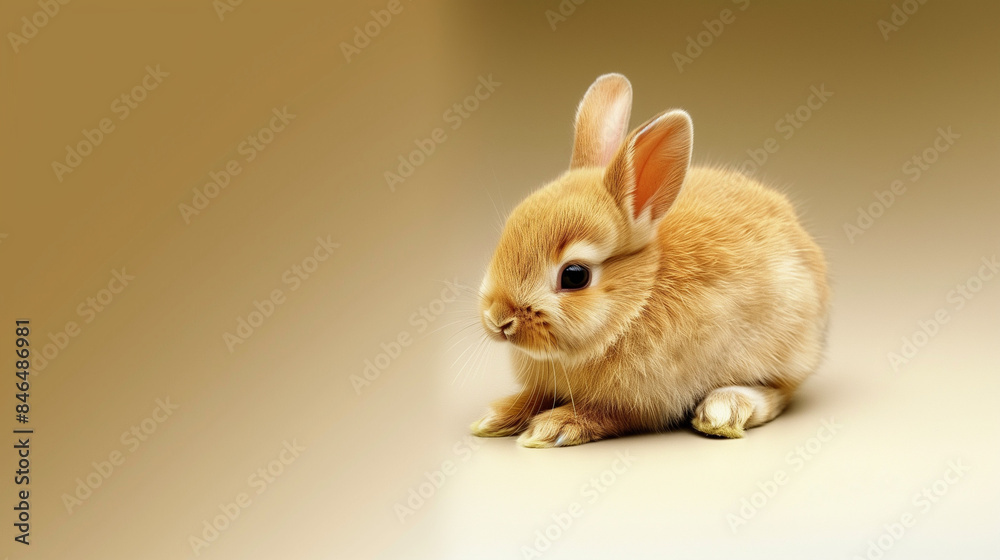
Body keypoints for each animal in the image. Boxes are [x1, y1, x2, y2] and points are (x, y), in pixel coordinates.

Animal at [470, 74, 830, 447]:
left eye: (574, 276)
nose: (498, 319)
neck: (637, 300)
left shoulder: (643, 402)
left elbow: (608, 414)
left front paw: (553, 427)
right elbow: (533, 397)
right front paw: (497, 417)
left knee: (780, 392)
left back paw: (723, 410)